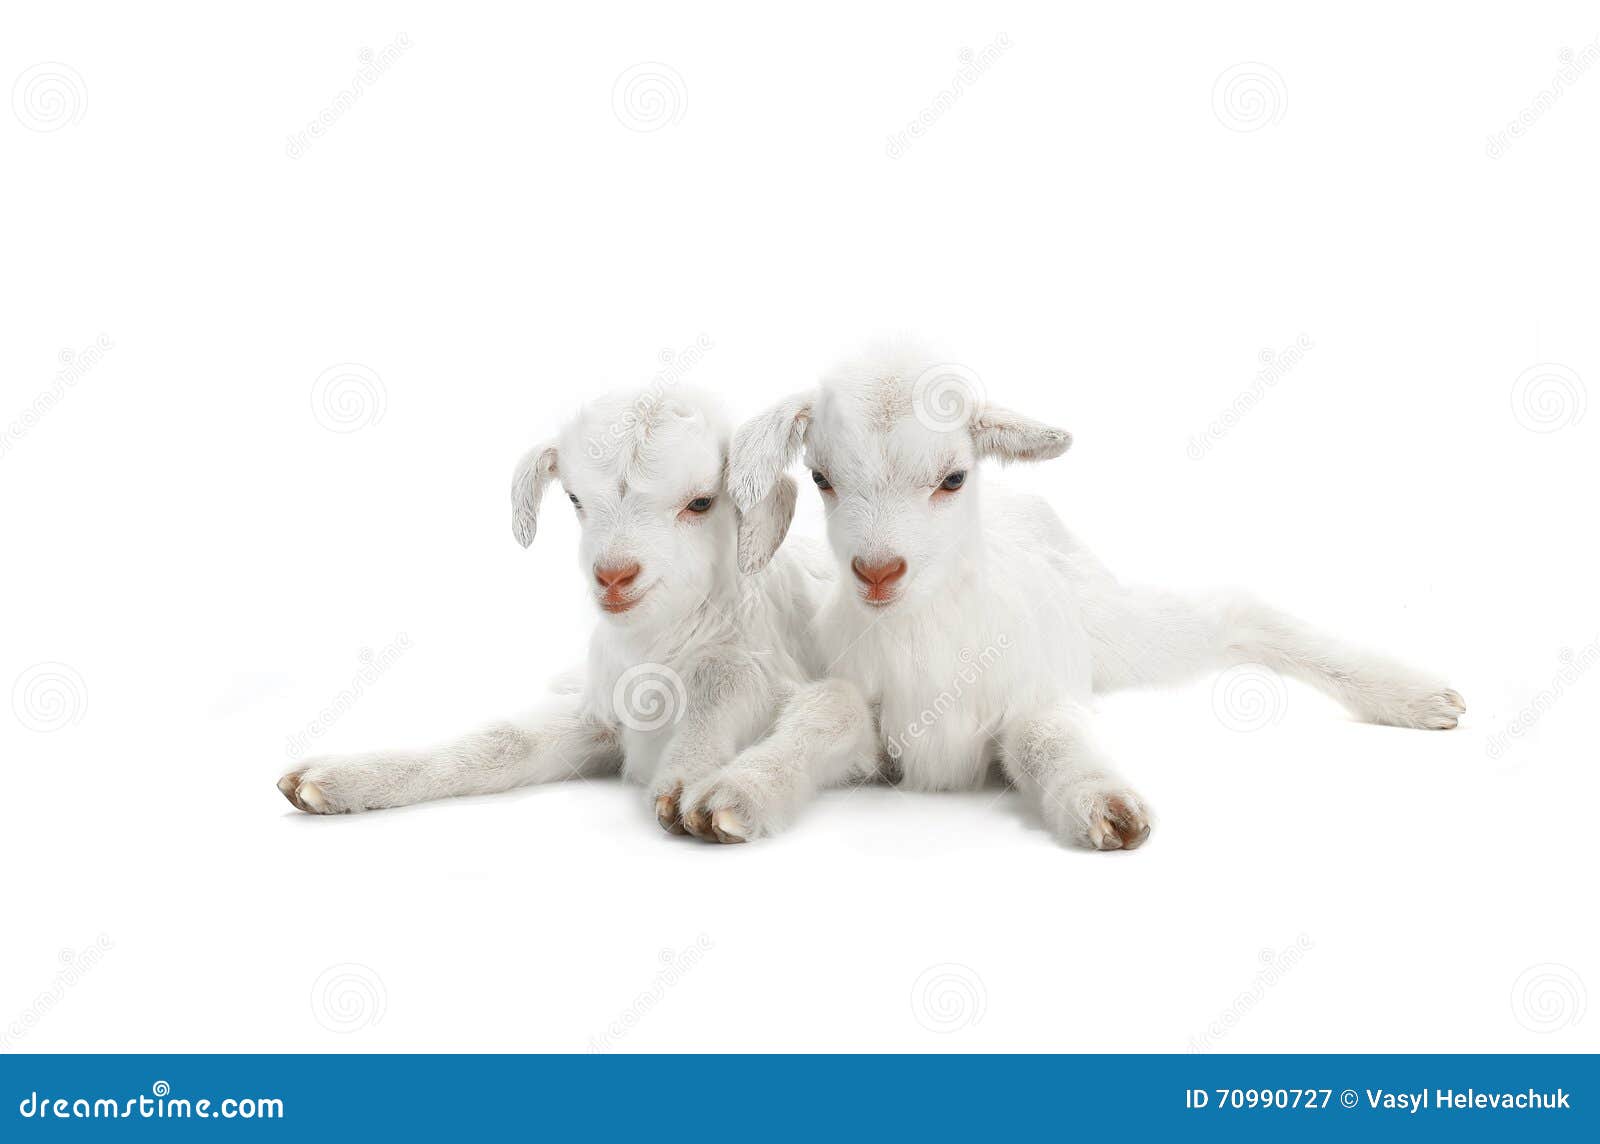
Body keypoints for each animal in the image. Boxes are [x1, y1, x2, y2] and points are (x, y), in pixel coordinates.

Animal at [277, 387, 875, 842]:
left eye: (702, 503)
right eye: (574, 499)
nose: (613, 576)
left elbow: (817, 705)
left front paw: (703, 783)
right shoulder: (603, 719)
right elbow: (504, 742)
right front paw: (339, 780)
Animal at [728, 344, 1465, 850]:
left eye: (953, 478)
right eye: (820, 478)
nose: (877, 571)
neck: (924, 633)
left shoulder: (1033, 687)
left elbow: (1047, 736)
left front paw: (1105, 804)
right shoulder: (862, 701)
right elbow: (829, 713)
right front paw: (740, 793)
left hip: (1108, 622)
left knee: (1234, 613)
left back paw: (1419, 698)